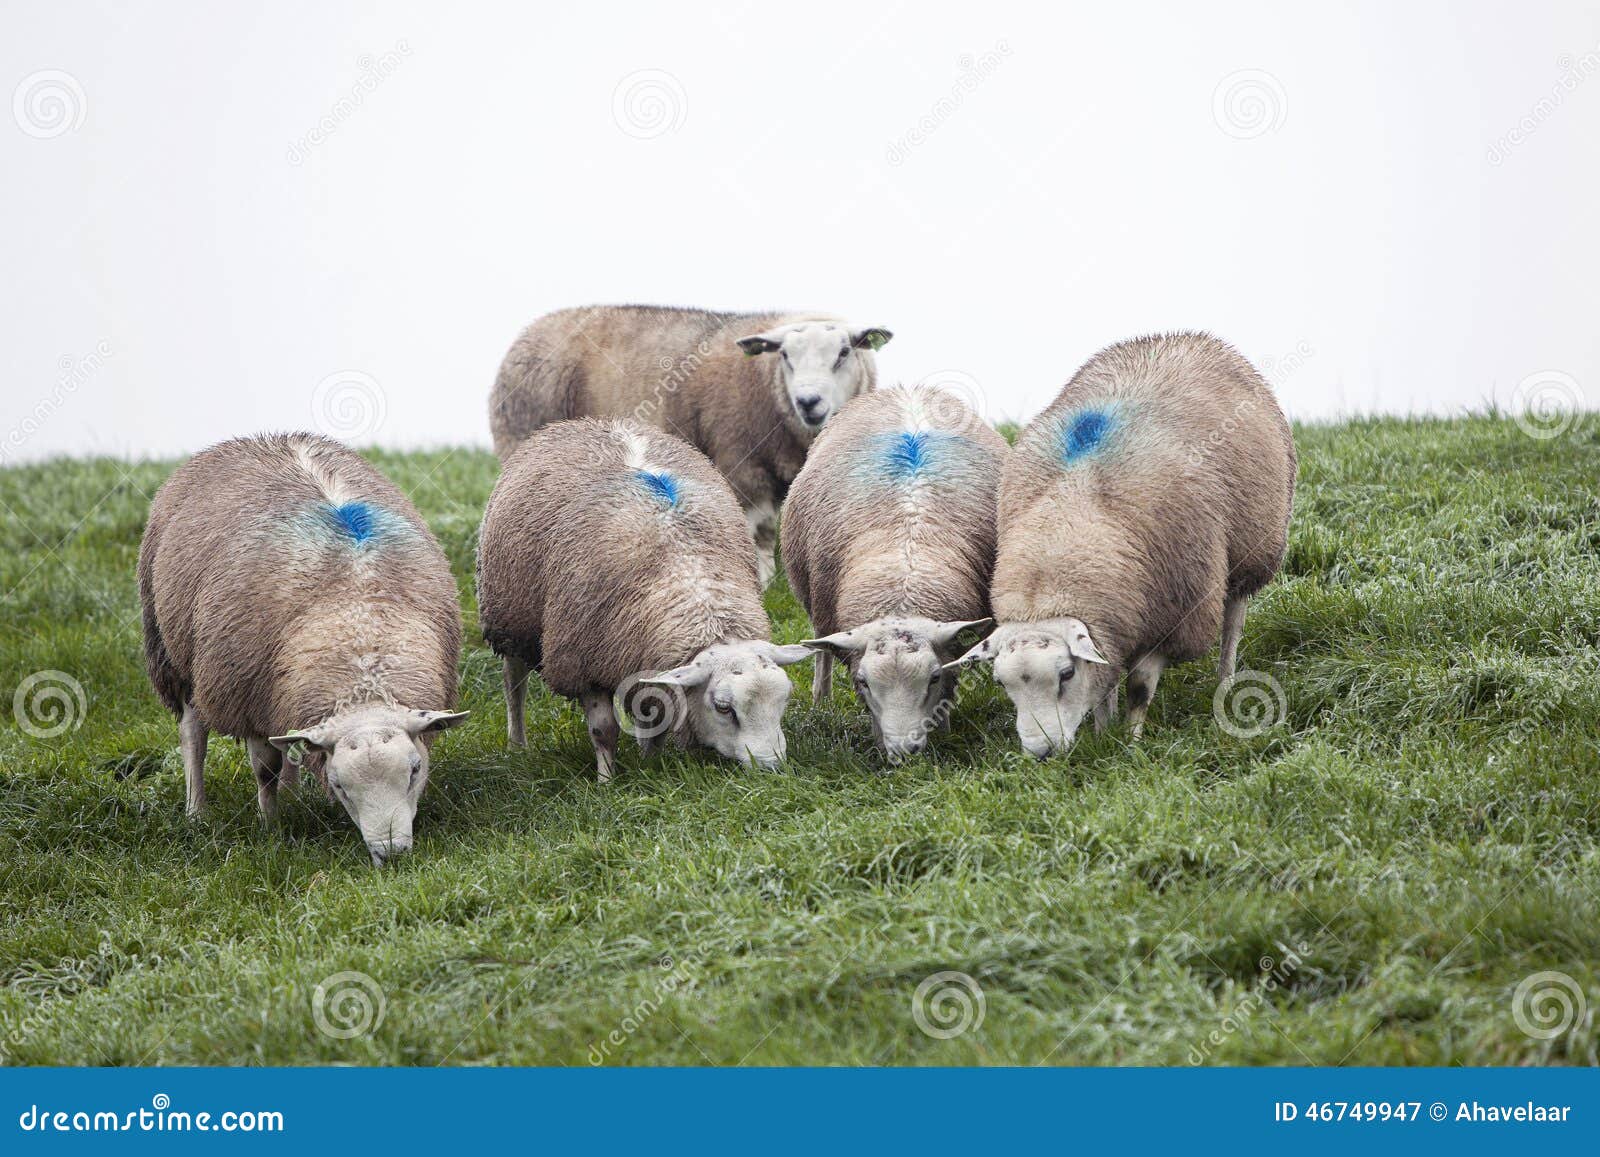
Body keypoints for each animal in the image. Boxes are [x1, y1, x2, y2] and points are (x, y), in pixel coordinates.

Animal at [138, 433, 468, 864]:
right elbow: (264, 769)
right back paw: (198, 812)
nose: (391, 853)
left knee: (289, 741)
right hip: (173, 651)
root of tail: (258, 438)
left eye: (415, 770)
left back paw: (293, 796)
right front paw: (271, 826)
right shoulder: (247, 696)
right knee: (193, 732)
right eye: (340, 785)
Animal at [477, 418, 812, 781]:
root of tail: (591, 422)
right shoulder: (584, 664)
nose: (772, 768)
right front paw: (606, 781)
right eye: (724, 708)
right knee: (514, 684)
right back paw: (517, 745)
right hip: (508, 614)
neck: (690, 575)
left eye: (784, 699)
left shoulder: (645, 659)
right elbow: (604, 731)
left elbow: (656, 719)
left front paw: (650, 763)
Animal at [487, 304, 893, 586]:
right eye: (785, 355)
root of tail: (531, 328)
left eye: (844, 352)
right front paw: (761, 579)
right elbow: (758, 530)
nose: (809, 401)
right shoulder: (741, 463)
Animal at [781, 384, 1008, 758]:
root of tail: (907, 389)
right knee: (821, 653)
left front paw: (944, 730)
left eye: (933, 678)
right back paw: (821, 701)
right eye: (863, 682)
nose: (904, 750)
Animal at [947, 333, 1296, 759]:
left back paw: (1226, 682)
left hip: (1253, 550)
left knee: (1233, 620)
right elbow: (1103, 684)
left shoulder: (1175, 616)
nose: (1041, 752)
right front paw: (1102, 731)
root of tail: (1184, 336)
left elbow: (1139, 686)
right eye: (1001, 682)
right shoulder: (1112, 622)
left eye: (1066, 673)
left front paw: (1131, 743)